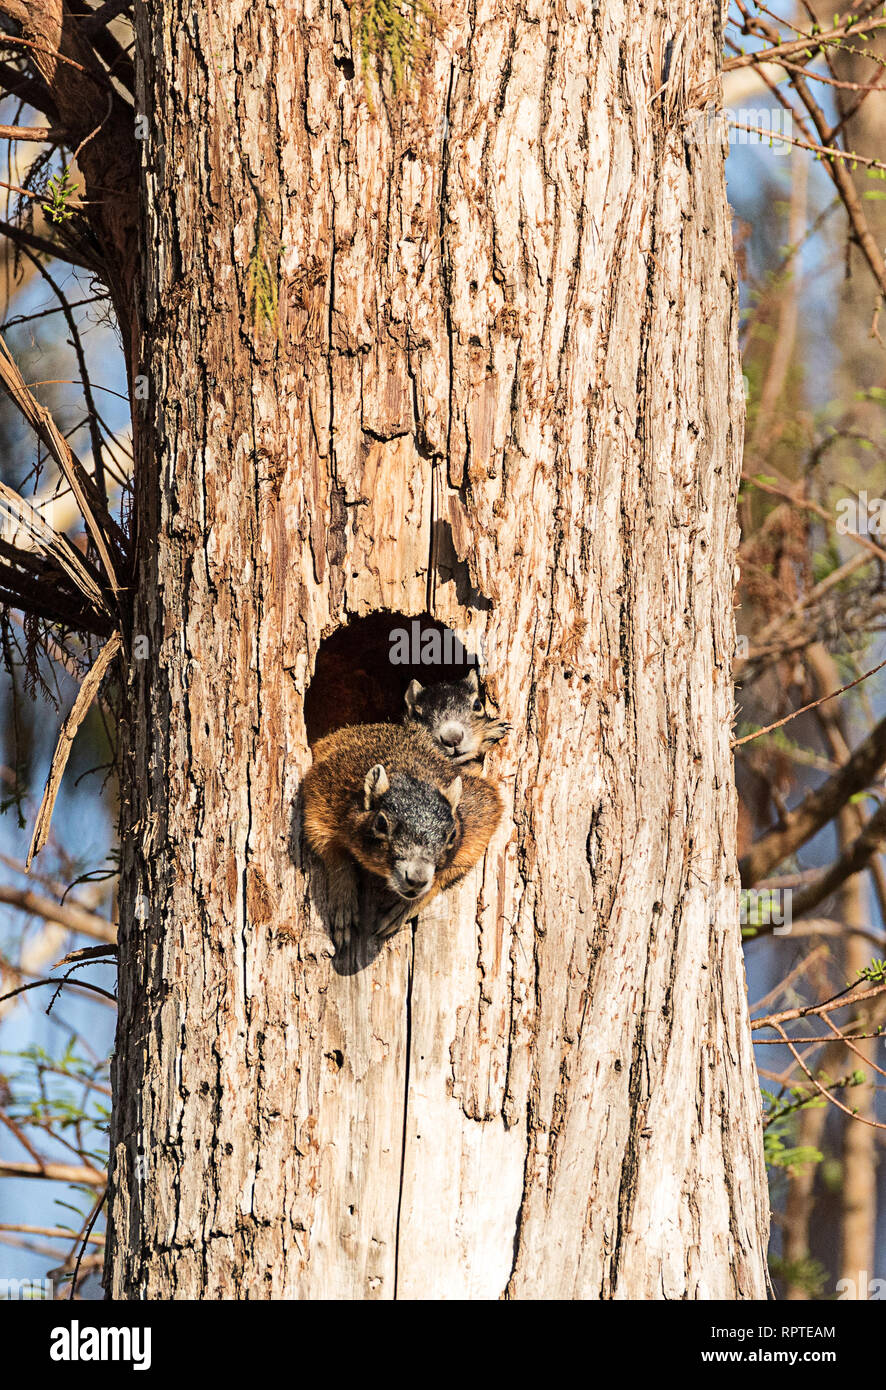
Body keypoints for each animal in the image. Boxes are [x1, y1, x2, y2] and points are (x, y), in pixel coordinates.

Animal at [302, 722, 503, 942]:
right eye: (381, 823)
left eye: (452, 835)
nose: (417, 879)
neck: (410, 769)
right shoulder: (325, 792)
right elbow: (332, 853)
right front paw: (343, 902)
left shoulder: (480, 812)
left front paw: (404, 907)